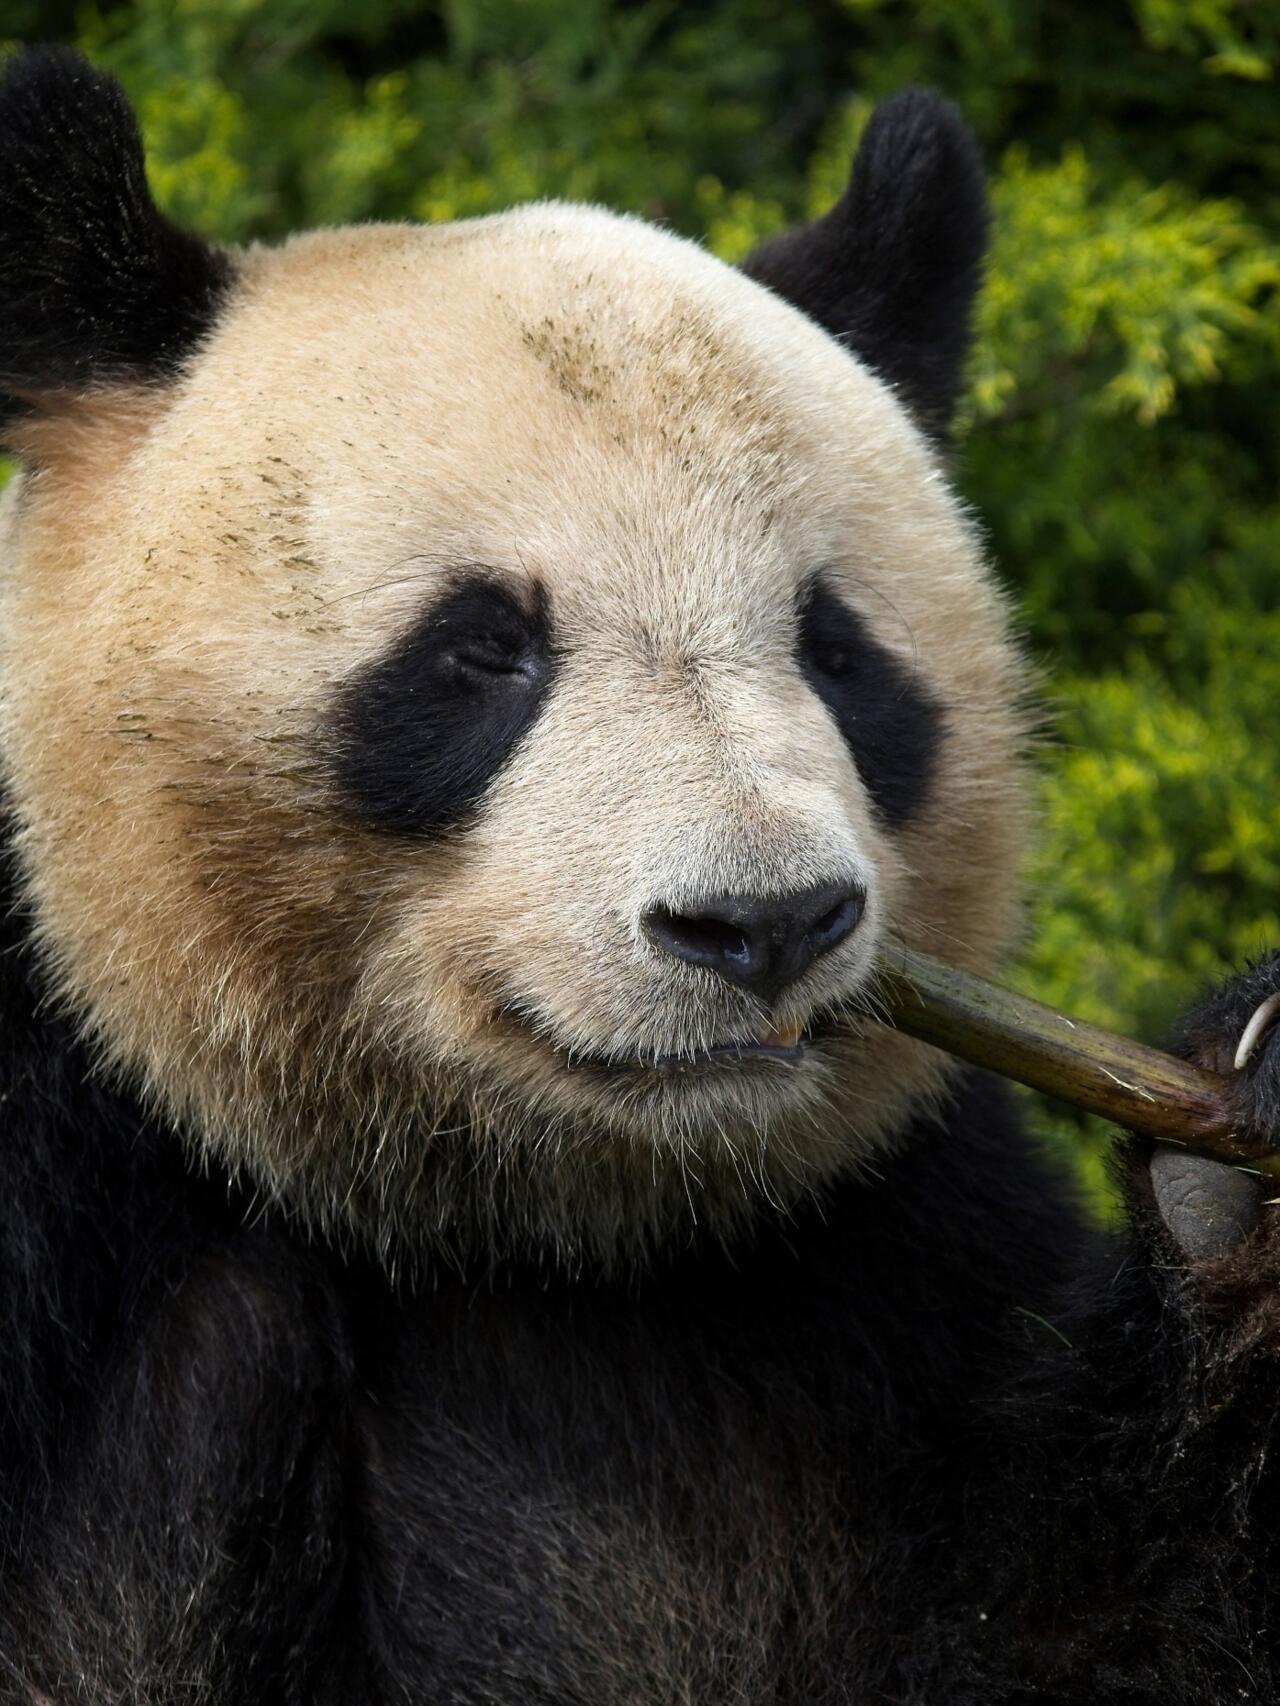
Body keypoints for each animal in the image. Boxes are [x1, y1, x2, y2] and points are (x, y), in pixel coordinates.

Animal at [2, 42, 1280, 1706]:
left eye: (837, 650)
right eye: (483, 647)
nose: (763, 925)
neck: (506, 1225)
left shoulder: (873, 1259)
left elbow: (1060, 1625)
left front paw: (1232, 1166)